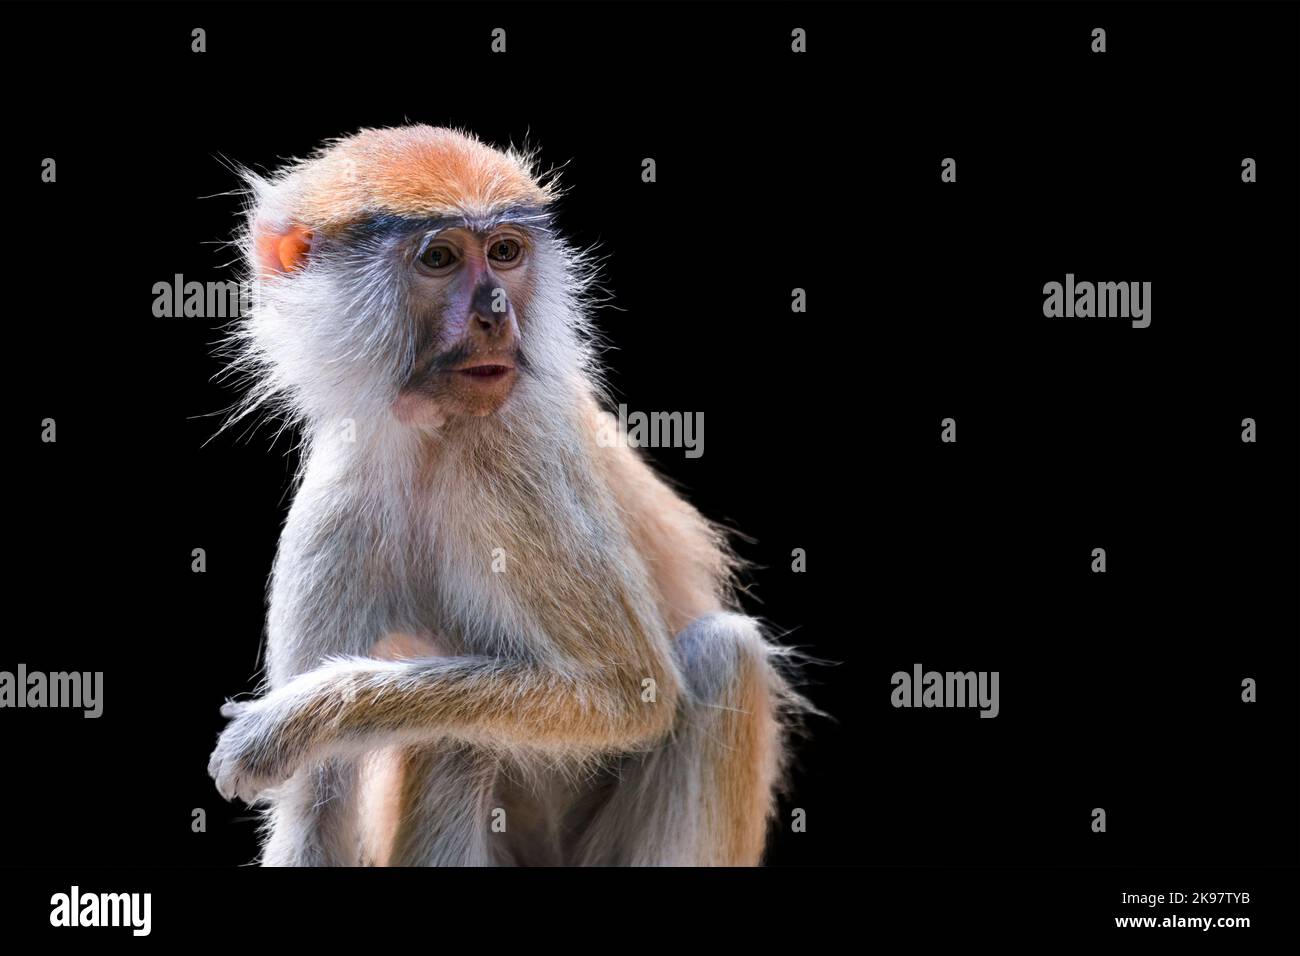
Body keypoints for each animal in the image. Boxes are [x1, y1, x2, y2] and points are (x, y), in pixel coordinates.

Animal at [207, 125, 812, 866]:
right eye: (439, 258)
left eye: (504, 252)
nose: (496, 316)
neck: (429, 440)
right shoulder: (338, 499)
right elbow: (317, 808)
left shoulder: (516, 461)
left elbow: (630, 695)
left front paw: (303, 719)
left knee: (721, 654)